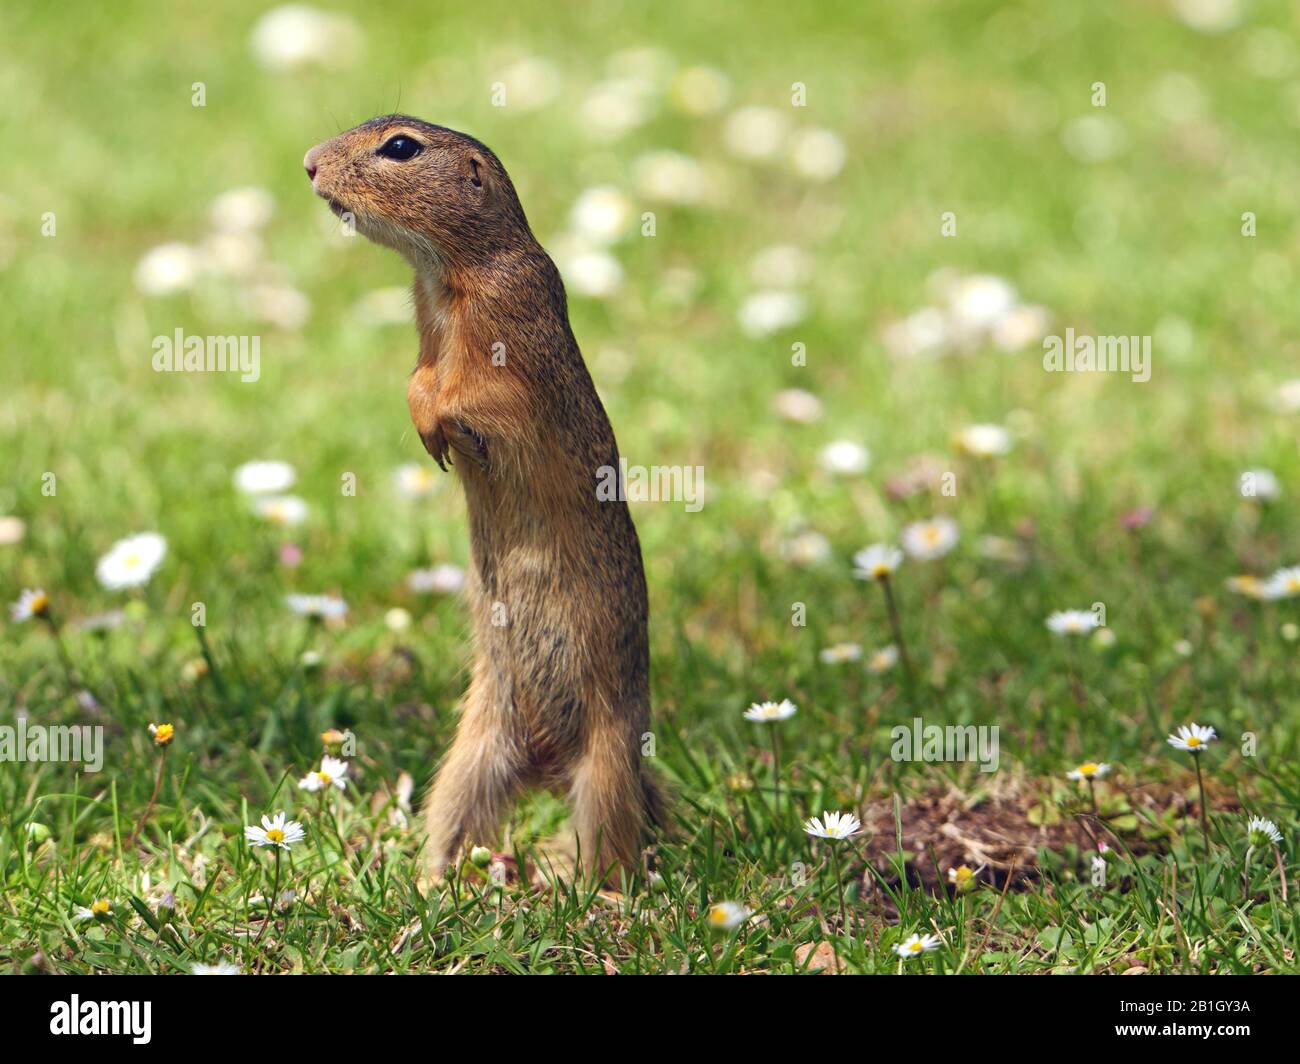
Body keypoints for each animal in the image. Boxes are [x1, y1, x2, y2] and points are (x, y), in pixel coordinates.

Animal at [304, 116, 662, 884]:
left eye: (400, 147)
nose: (310, 163)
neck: (443, 275)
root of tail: (547, 763)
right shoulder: (424, 333)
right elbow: (417, 378)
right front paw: (425, 425)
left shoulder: (510, 335)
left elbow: (479, 396)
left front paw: (443, 425)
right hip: (474, 753)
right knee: (458, 818)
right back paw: (430, 882)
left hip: (608, 762)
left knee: (611, 843)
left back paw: (581, 888)